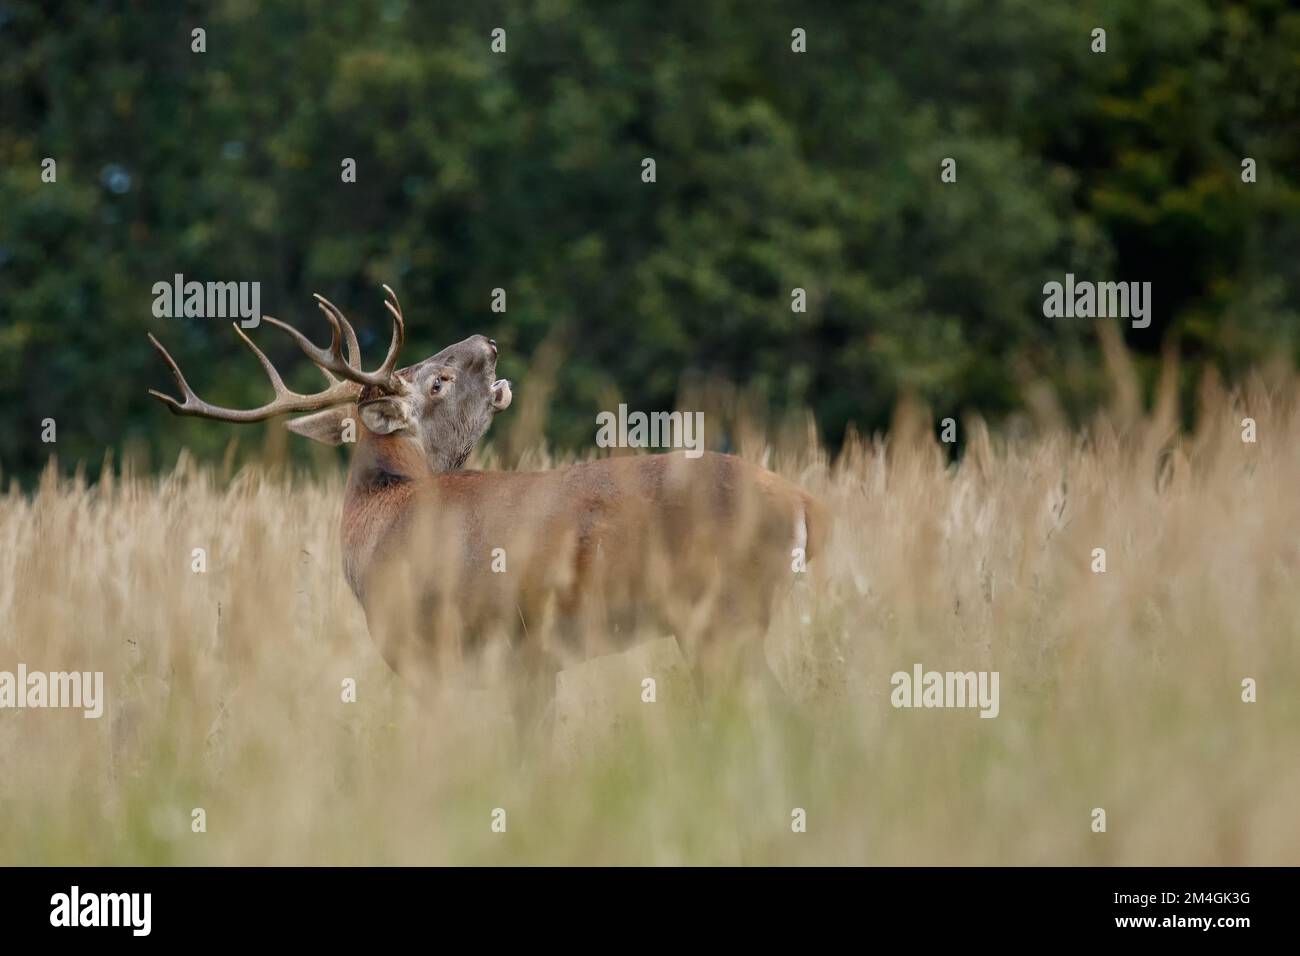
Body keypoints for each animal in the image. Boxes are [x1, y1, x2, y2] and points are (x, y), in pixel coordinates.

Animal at [148, 286, 827, 716]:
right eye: (436, 379)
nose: (487, 340)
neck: (378, 526)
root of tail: (802, 503)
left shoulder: (469, 652)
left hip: (722, 614)